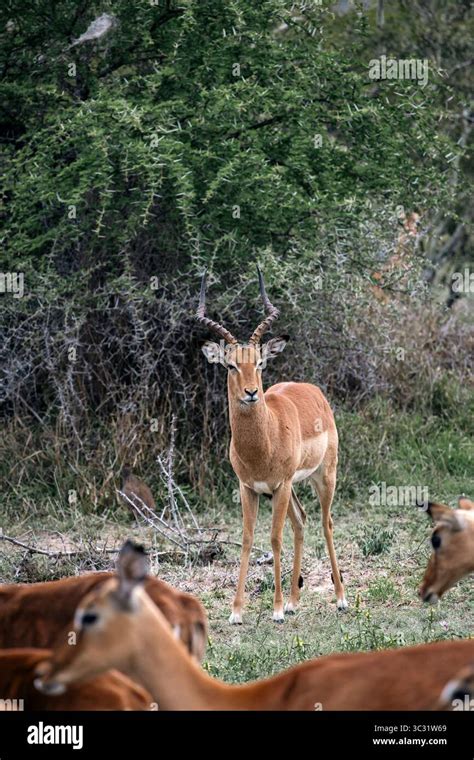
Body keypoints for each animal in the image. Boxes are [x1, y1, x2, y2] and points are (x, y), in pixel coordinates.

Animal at [195, 269, 346, 622]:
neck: (262, 443)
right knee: (301, 521)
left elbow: (275, 539)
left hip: (322, 477)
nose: (251, 392)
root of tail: (313, 390)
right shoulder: (249, 488)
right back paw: (294, 601)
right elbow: (248, 539)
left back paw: (339, 598)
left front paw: (275, 609)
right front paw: (237, 611)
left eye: (260, 362)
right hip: (288, 490)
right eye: (231, 365)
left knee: (326, 523)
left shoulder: (280, 485)